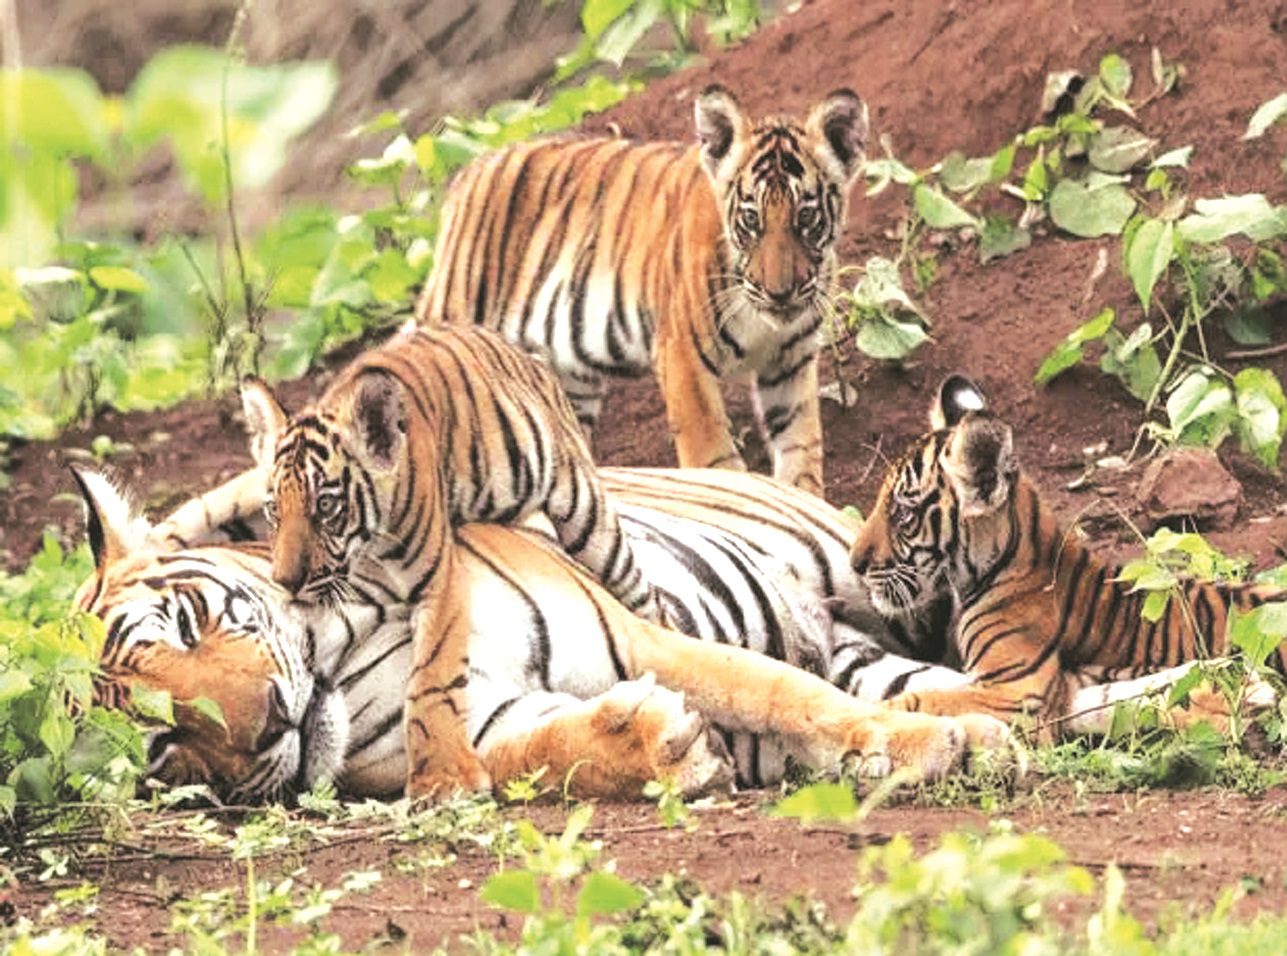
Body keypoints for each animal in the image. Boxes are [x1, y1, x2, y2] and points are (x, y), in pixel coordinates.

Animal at [71, 465, 1018, 803]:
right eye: (159, 744)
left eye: (188, 622)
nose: (270, 718)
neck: (341, 650)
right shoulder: (475, 731)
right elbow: (540, 755)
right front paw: (666, 747)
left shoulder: (643, 638)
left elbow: (789, 695)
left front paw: (923, 750)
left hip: (862, 569)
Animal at [241, 323, 671, 799]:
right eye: (274, 510)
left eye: (326, 506)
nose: (286, 581)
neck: (364, 555)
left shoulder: (438, 582)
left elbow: (430, 679)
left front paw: (442, 778)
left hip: (588, 517)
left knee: (647, 598)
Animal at [414, 85, 869, 496]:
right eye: (751, 219)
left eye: (806, 217)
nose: (780, 293)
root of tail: (469, 170)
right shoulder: (682, 355)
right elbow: (712, 455)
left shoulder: (790, 363)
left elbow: (801, 447)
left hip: (569, 378)